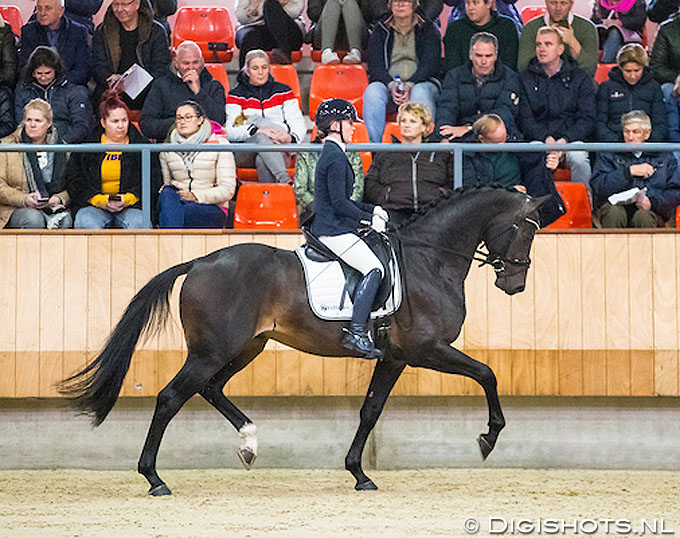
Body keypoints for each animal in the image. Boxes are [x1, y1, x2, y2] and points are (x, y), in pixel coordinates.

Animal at [58, 186, 547, 496]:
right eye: (526, 229)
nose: (516, 284)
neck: (432, 260)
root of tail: (199, 262)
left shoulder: (394, 357)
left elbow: (371, 410)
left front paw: (359, 474)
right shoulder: (427, 350)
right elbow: (487, 373)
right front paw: (488, 437)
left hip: (243, 347)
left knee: (210, 389)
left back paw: (249, 444)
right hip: (212, 351)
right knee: (170, 397)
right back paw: (155, 479)